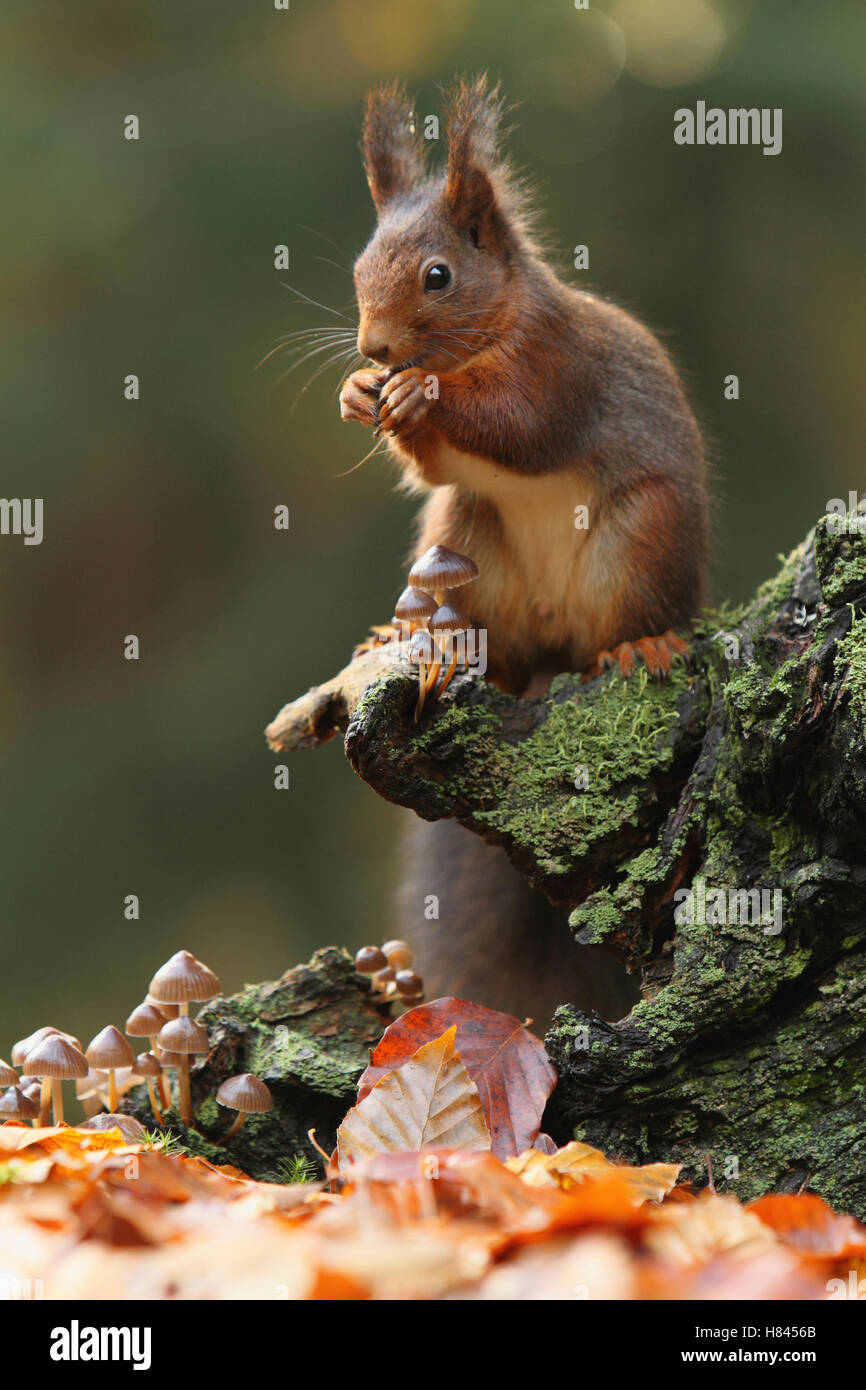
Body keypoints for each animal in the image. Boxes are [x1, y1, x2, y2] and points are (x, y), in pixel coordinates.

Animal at [339, 76, 710, 1025]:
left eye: (438, 276)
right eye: (359, 269)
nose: (373, 349)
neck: (492, 328)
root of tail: (548, 648)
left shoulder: (556, 364)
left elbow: (521, 424)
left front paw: (425, 396)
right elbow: (430, 463)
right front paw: (361, 393)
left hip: (640, 537)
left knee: (627, 618)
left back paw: (641, 645)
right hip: (464, 538)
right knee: (485, 645)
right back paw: (411, 642)